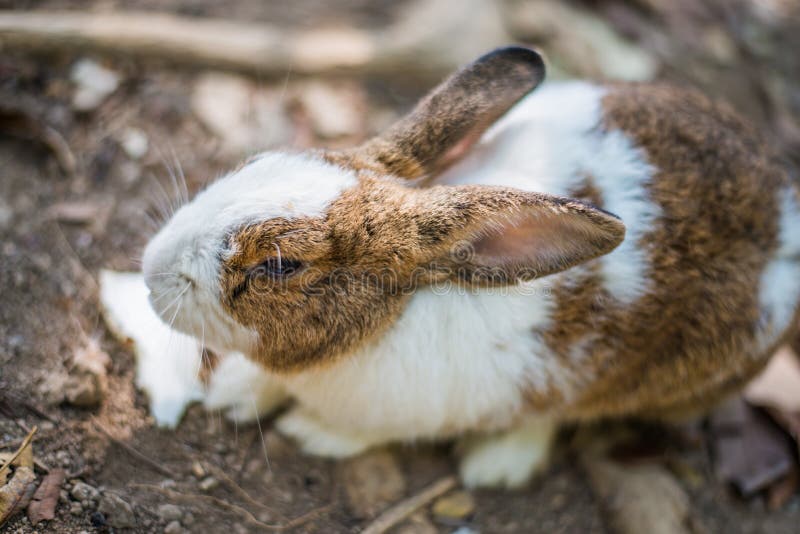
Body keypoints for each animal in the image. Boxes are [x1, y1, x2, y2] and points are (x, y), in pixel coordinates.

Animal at [141, 47, 800, 488]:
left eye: (280, 265)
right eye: (254, 163)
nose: (151, 273)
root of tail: (786, 200)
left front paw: (311, 434)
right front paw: (234, 392)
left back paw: (496, 464)